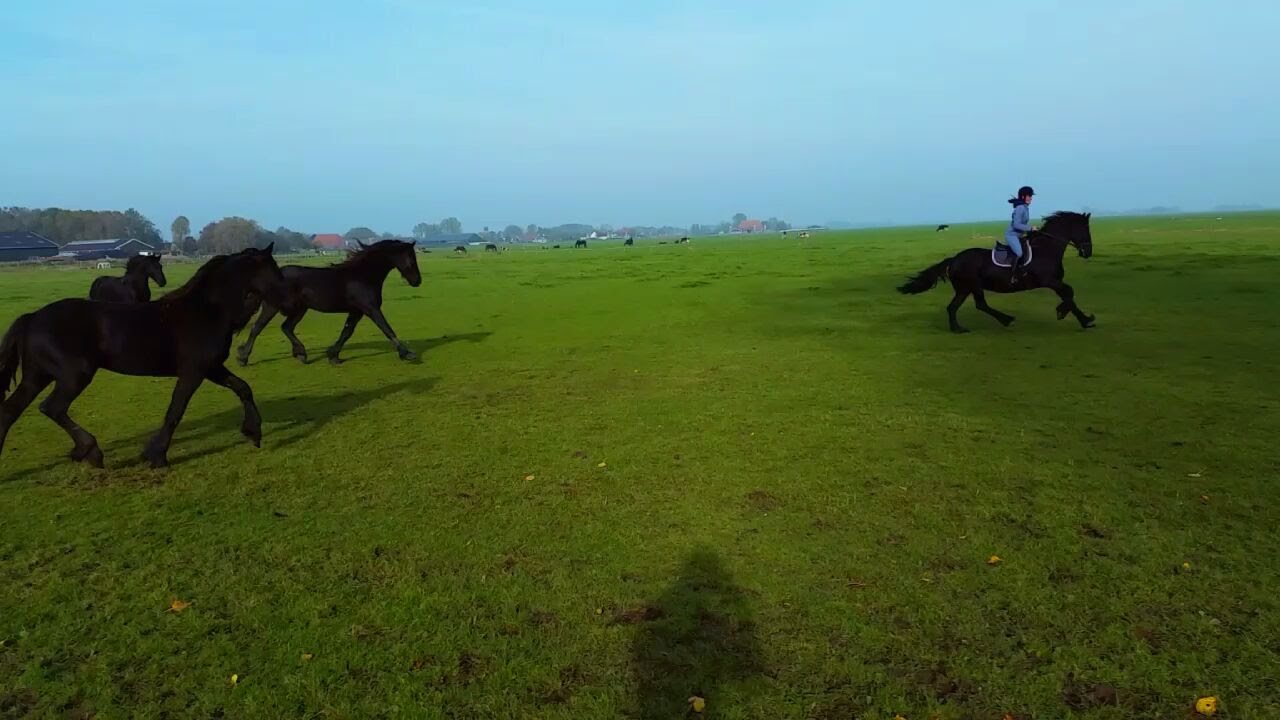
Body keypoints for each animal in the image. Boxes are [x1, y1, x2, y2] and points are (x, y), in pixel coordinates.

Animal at [0, 245, 284, 469]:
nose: (285, 297)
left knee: (11, 411)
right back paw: (91, 451)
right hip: (74, 376)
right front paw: (156, 456)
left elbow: (243, 388)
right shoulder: (193, 371)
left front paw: (253, 433)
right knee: (52, 408)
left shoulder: (212, 368)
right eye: (272, 269)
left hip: (38, 376)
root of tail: (31, 318)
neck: (206, 311)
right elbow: (175, 411)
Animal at [236, 239, 422, 366]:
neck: (362, 276)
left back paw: (301, 354)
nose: (417, 281)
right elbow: (386, 329)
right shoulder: (371, 309)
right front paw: (407, 353)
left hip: (300, 309)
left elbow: (347, 332)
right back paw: (243, 358)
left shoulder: (357, 311)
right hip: (273, 307)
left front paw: (333, 355)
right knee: (257, 328)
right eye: (411, 259)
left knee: (286, 327)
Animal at [897, 211, 1096, 333]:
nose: (1087, 252)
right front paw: (1070, 315)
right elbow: (1069, 293)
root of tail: (954, 259)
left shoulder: (1055, 283)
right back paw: (1006, 319)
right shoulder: (1050, 281)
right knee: (979, 305)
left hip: (964, 288)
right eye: (1084, 229)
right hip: (973, 285)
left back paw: (958, 329)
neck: (1046, 249)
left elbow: (1069, 295)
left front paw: (1081, 318)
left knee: (953, 307)